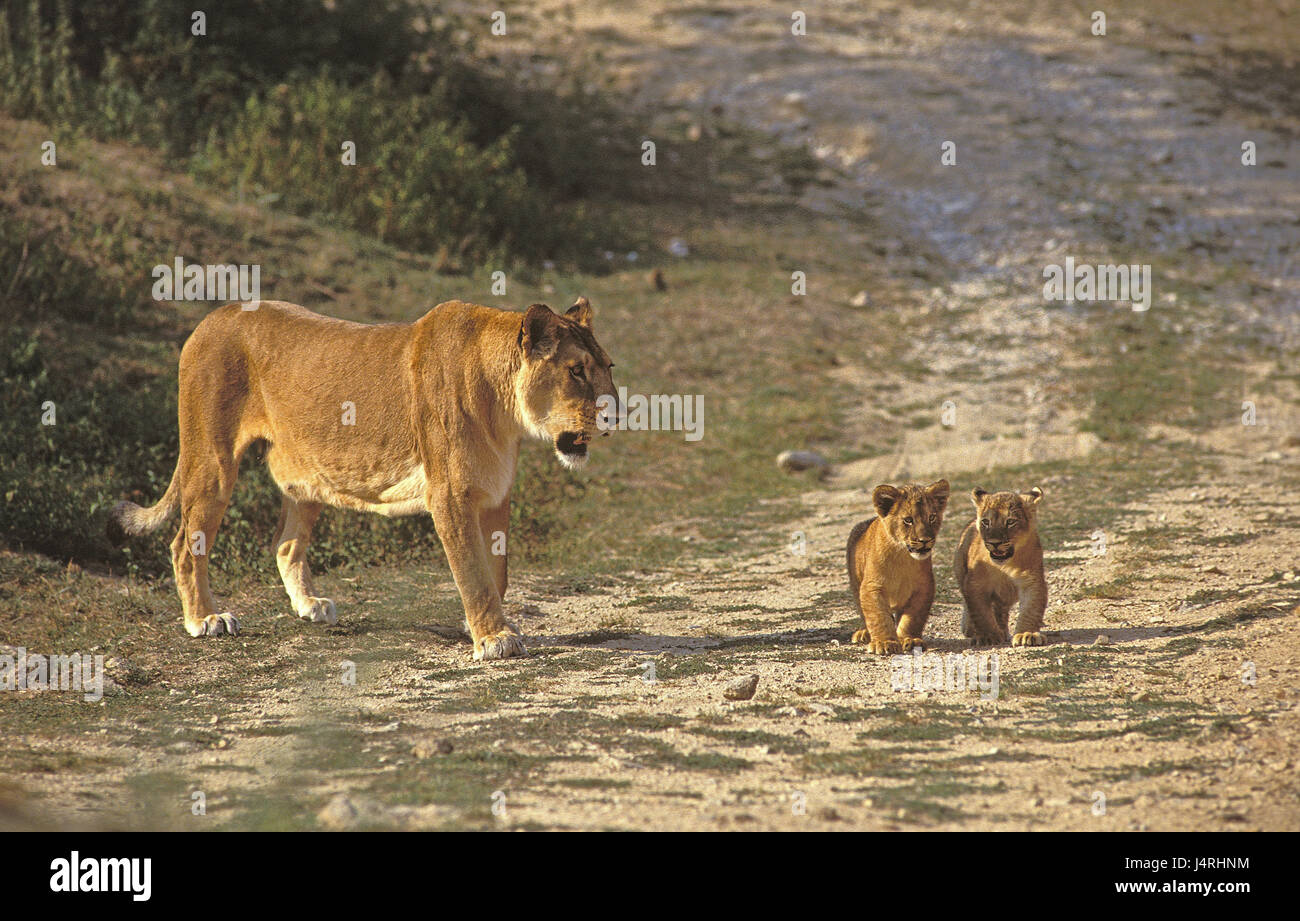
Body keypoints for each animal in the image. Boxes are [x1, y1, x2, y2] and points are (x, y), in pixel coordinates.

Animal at [107, 297, 617, 660]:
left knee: (285, 544)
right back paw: (206, 619)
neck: (506, 412)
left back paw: (309, 606)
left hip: (304, 478)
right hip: (212, 460)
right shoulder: (450, 495)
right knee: (184, 543)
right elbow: (473, 572)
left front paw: (483, 626)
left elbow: (498, 570)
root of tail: (210, 318)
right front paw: (494, 638)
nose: (617, 413)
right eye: (576, 371)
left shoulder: (495, 494)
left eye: (608, 367)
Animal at [846, 480, 950, 654]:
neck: (902, 556)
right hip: (855, 584)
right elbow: (878, 616)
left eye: (932, 517)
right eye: (908, 520)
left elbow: (912, 618)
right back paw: (864, 634)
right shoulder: (872, 587)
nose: (925, 540)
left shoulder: (924, 587)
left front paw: (910, 640)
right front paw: (884, 642)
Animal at [954, 486, 1048, 647]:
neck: (1005, 565)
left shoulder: (1032, 581)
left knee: (1000, 611)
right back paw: (969, 628)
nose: (995, 543)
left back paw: (1003, 631)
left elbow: (1031, 608)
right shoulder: (974, 584)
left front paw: (1026, 634)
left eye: (1010, 521)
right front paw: (988, 636)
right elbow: (980, 612)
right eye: (986, 522)